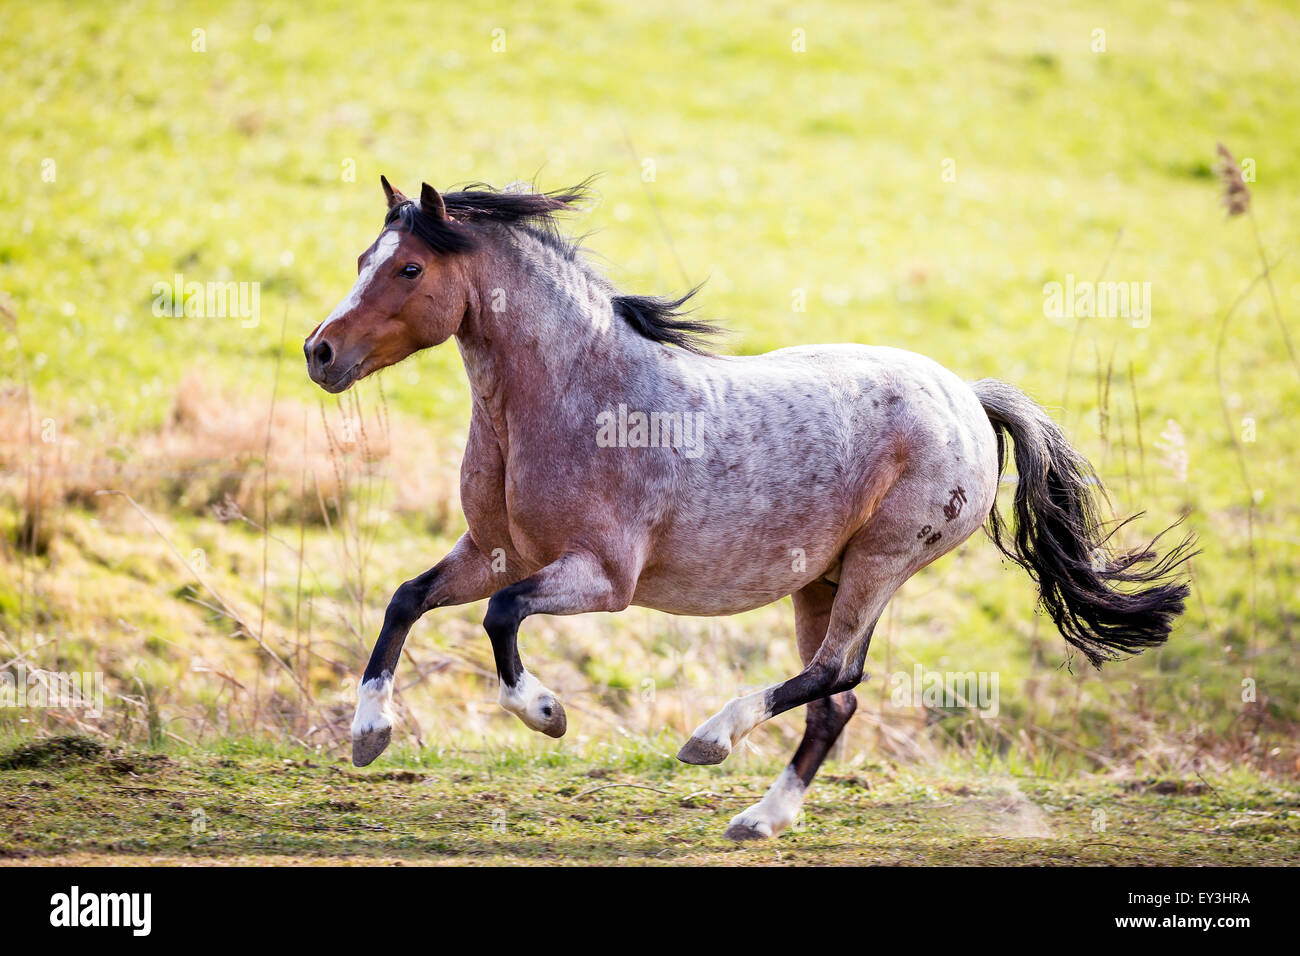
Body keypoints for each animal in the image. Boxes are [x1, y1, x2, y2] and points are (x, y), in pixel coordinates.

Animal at [303, 177, 1194, 841]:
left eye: (410, 271)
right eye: (365, 257)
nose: (319, 351)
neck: (565, 398)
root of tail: (970, 398)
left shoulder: (601, 579)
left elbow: (500, 617)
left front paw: (546, 714)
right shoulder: (495, 552)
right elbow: (408, 599)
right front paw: (369, 734)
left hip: (881, 561)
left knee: (834, 673)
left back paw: (712, 741)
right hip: (820, 580)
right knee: (837, 699)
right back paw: (761, 819)